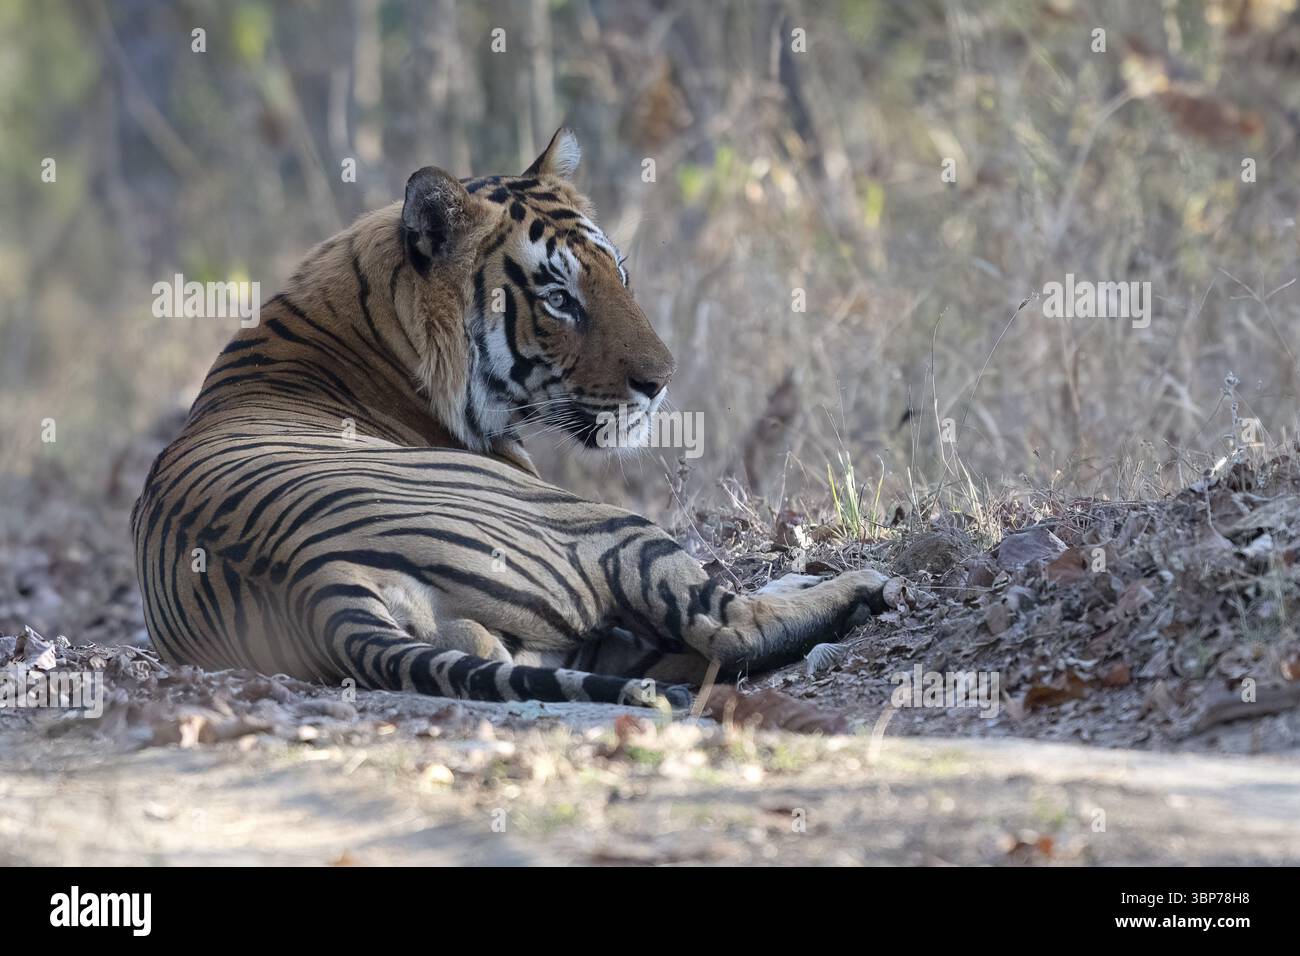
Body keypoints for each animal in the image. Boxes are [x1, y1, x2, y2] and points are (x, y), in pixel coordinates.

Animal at [131, 129, 890, 710]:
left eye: (618, 274)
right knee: (730, 628)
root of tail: (311, 579)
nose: (661, 382)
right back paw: (860, 587)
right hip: (595, 524)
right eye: (558, 298)